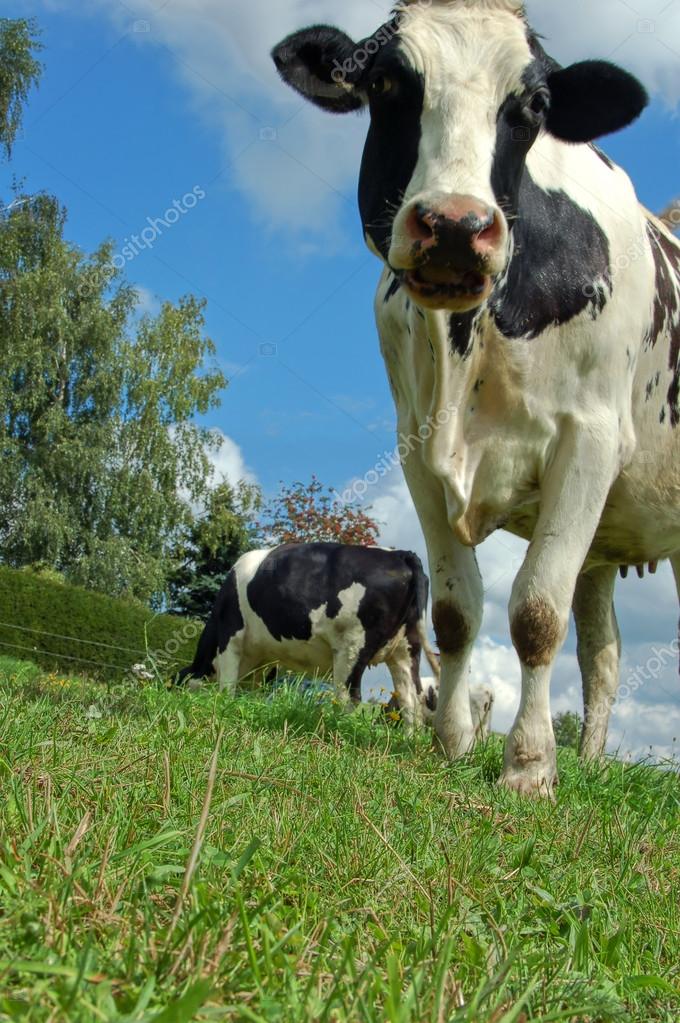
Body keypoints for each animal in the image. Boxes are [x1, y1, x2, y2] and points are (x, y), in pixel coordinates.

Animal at [176, 543, 440, 729]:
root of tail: (401, 554)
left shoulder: (231, 638)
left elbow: (227, 687)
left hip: (351, 647)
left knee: (349, 698)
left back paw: (337, 730)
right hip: (406, 649)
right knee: (410, 700)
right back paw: (409, 739)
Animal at [272, 0, 680, 797]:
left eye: (534, 105)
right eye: (388, 83)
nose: (458, 225)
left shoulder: (591, 441)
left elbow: (536, 613)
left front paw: (528, 765)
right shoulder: (415, 447)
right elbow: (459, 610)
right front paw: (453, 741)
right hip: (605, 543)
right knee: (604, 653)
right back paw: (591, 759)